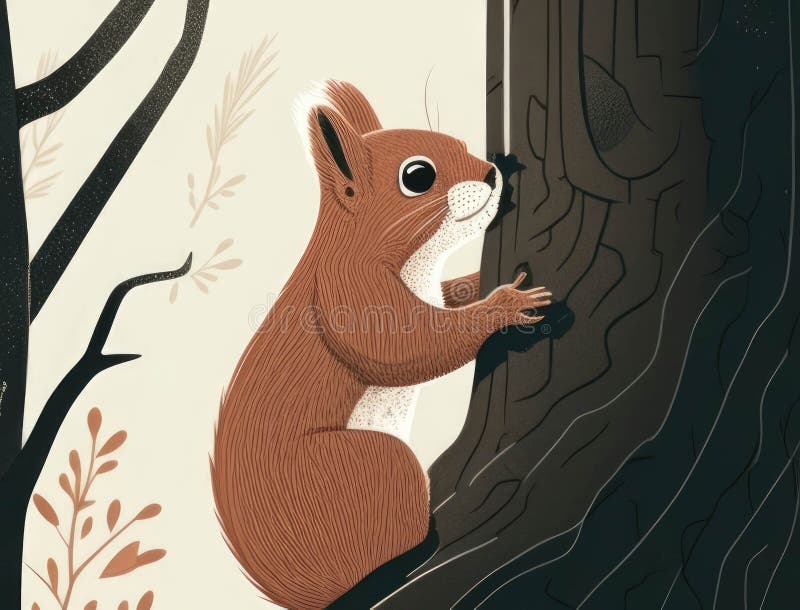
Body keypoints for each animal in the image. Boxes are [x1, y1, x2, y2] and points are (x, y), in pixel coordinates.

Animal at [210, 80, 551, 610]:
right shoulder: (349, 292)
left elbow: (449, 298)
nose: (492, 172)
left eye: (460, 142)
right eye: (417, 176)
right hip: (368, 469)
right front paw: (505, 305)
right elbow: (409, 346)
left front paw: (481, 282)